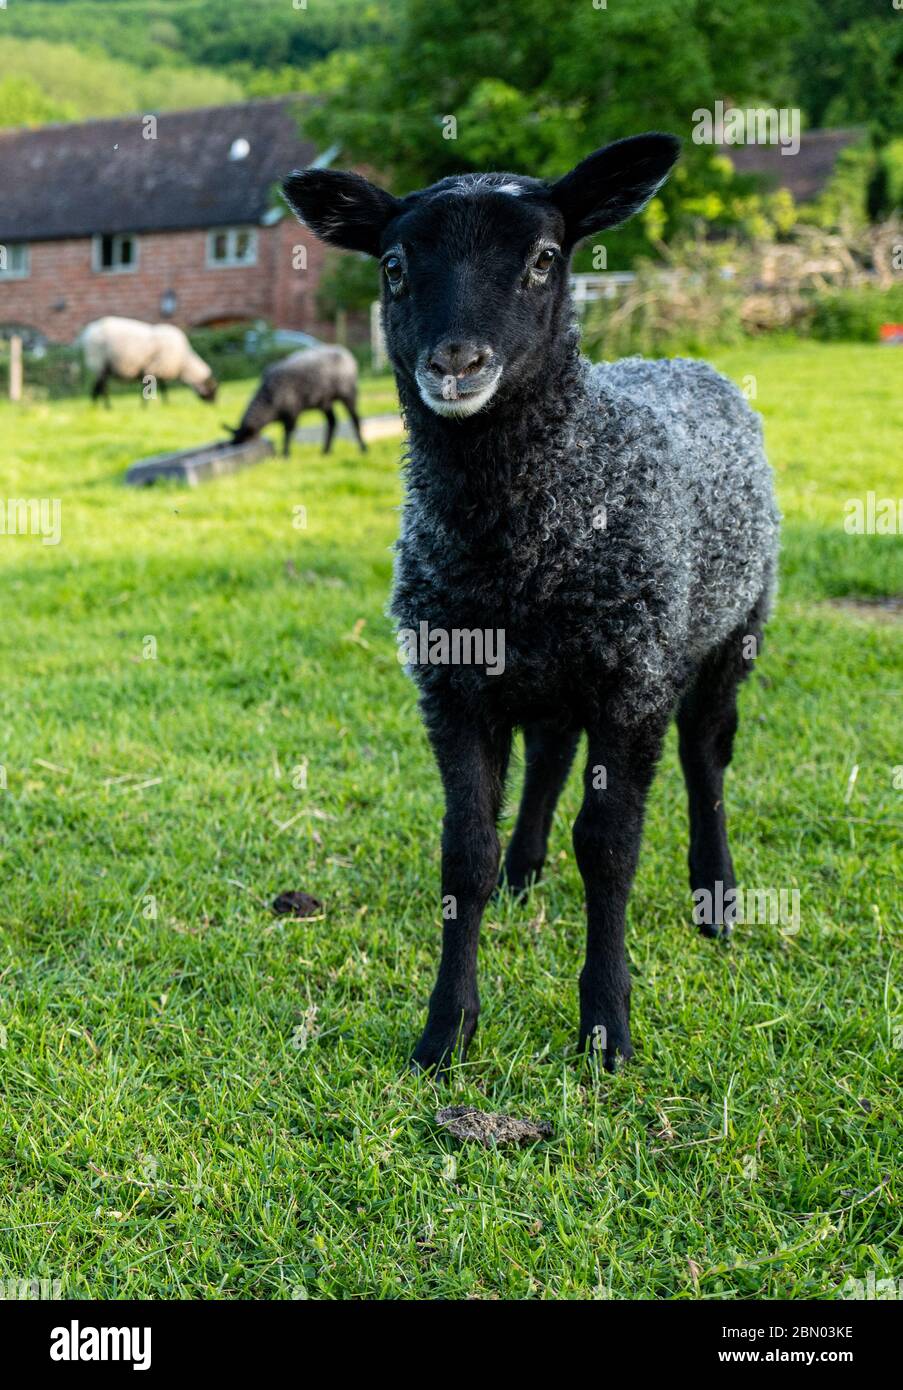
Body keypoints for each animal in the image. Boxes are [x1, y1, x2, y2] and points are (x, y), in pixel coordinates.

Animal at [80, 316, 217, 406]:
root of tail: (89, 330)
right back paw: (107, 407)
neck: (183, 363)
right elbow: (154, 388)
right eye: (214, 390)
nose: (215, 405)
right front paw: (146, 406)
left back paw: (94, 406)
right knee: (103, 387)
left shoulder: (159, 369)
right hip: (100, 361)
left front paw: (166, 404)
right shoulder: (154, 367)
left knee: (96, 386)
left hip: (102, 366)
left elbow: (162, 387)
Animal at [227, 346, 366, 456]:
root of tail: (348, 355)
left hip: (348, 393)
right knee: (332, 422)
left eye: (245, 441)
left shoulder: (292, 412)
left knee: (355, 419)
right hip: (325, 402)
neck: (269, 401)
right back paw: (326, 451)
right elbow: (286, 432)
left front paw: (285, 454)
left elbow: (288, 433)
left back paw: (363, 449)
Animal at [283, 134, 780, 1075]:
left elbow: (610, 849)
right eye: (394, 266)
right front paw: (445, 1030)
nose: (456, 364)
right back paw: (524, 869)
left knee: (706, 753)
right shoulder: (450, 686)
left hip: (732, 627)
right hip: (549, 673)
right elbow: (462, 854)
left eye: (545, 259)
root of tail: (686, 360)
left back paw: (716, 897)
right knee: (550, 753)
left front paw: (606, 1029)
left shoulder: (632, 683)